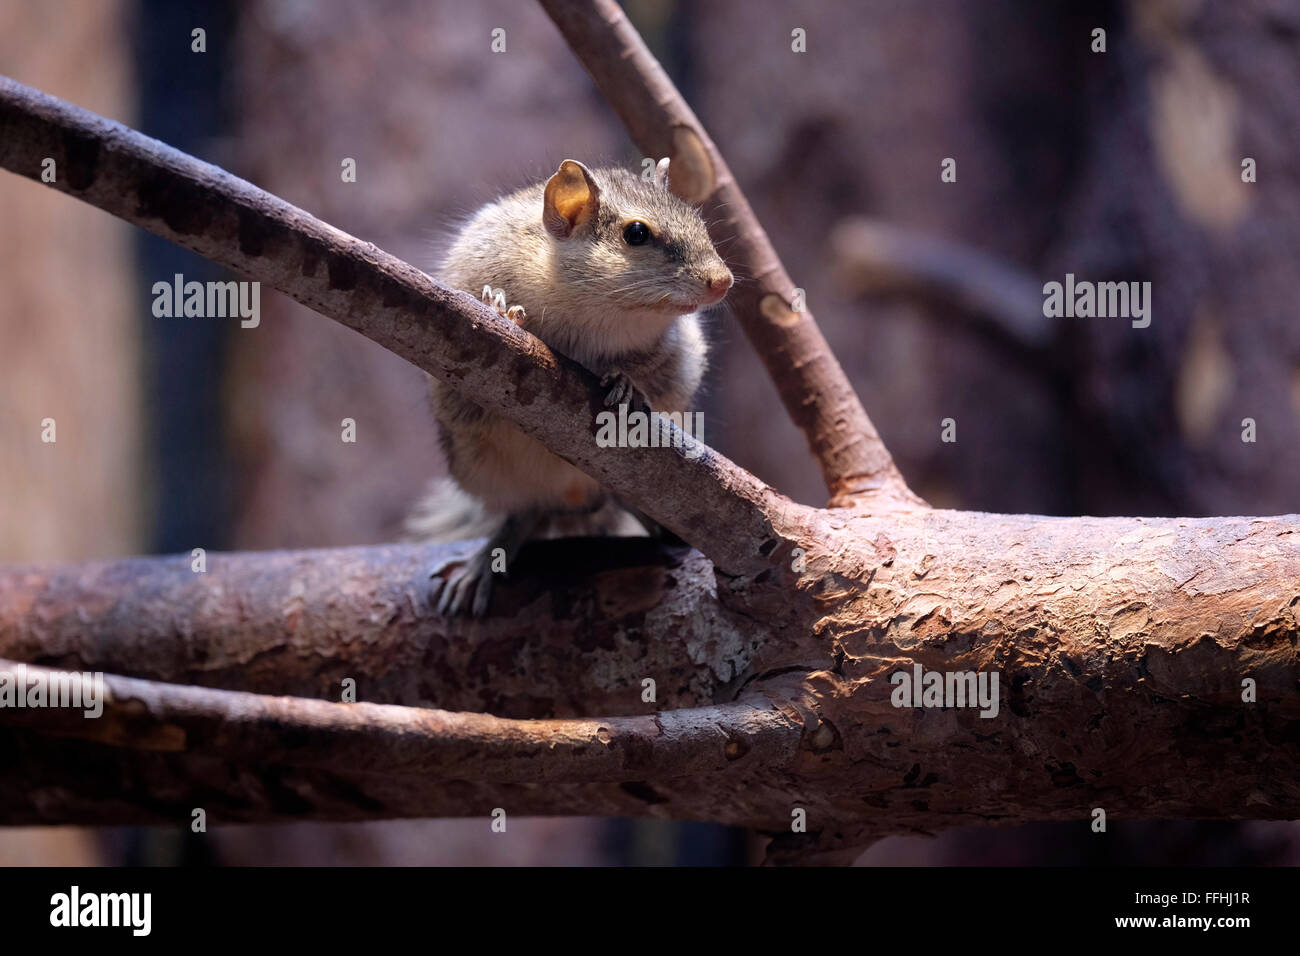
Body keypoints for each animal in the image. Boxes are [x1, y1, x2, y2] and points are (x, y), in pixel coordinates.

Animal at [408, 158, 733, 616]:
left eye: (698, 219)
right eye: (637, 233)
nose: (723, 282)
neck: (593, 308)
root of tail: (579, 499)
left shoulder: (671, 353)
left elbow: (644, 369)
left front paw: (627, 383)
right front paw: (500, 311)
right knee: (524, 514)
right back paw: (482, 563)